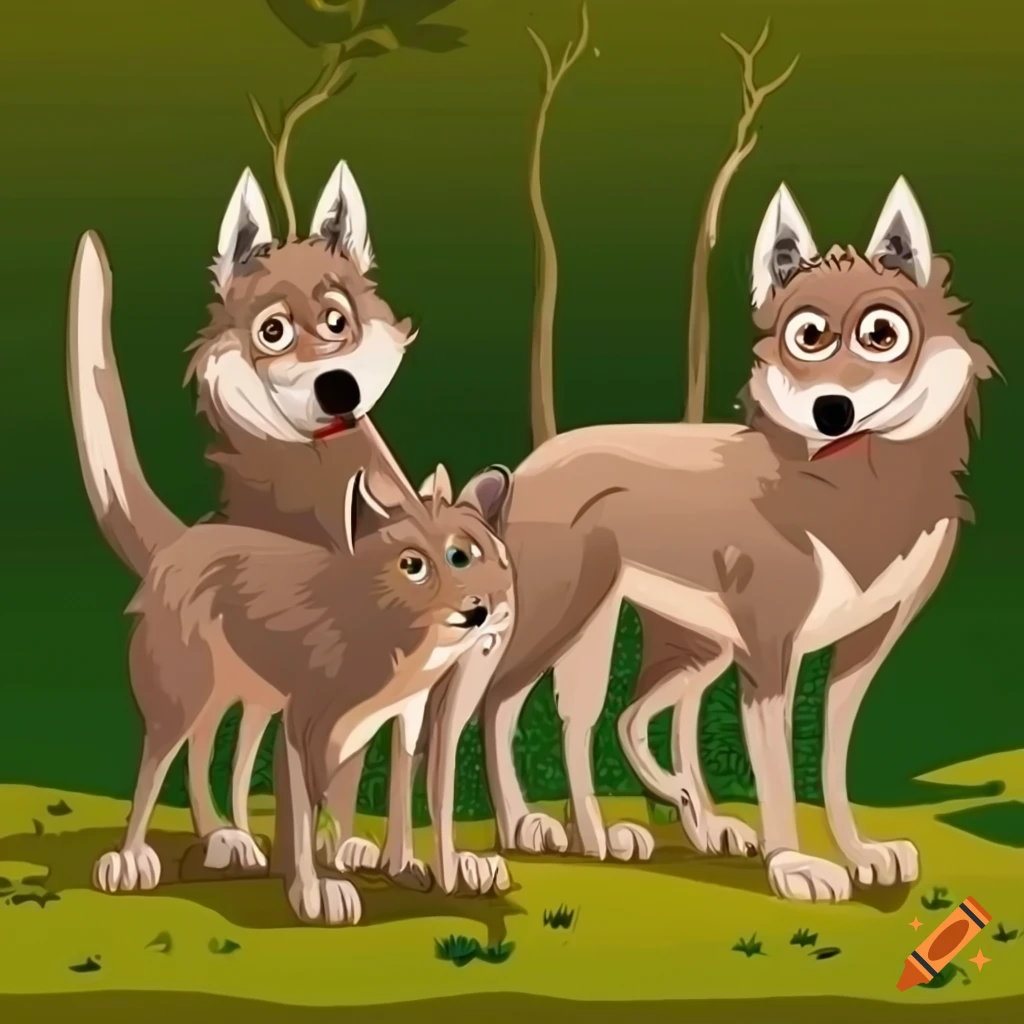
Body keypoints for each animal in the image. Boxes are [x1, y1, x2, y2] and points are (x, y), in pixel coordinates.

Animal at [70, 166, 516, 894]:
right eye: (273, 331)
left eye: (338, 321)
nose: (339, 387)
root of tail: (181, 542)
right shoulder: (319, 680)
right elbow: (307, 782)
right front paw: (309, 879)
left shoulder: (412, 693)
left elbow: (404, 778)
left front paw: (408, 863)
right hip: (195, 686)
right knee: (181, 753)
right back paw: (193, 845)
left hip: (249, 687)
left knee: (236, 747)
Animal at [470, 176, 995, 902]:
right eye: (807, 335)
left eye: (882, 333)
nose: (832, 411)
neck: (847, 498)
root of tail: (532, 464)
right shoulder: (771, 654)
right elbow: (775, 770)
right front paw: (795, 866)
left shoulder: (864, 648)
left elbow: (832, 763)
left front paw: (862, 853)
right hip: (568, 620)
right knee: (506, 703)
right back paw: (531, 827)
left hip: (685, 646)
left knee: (608, 719)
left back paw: (626, 833)